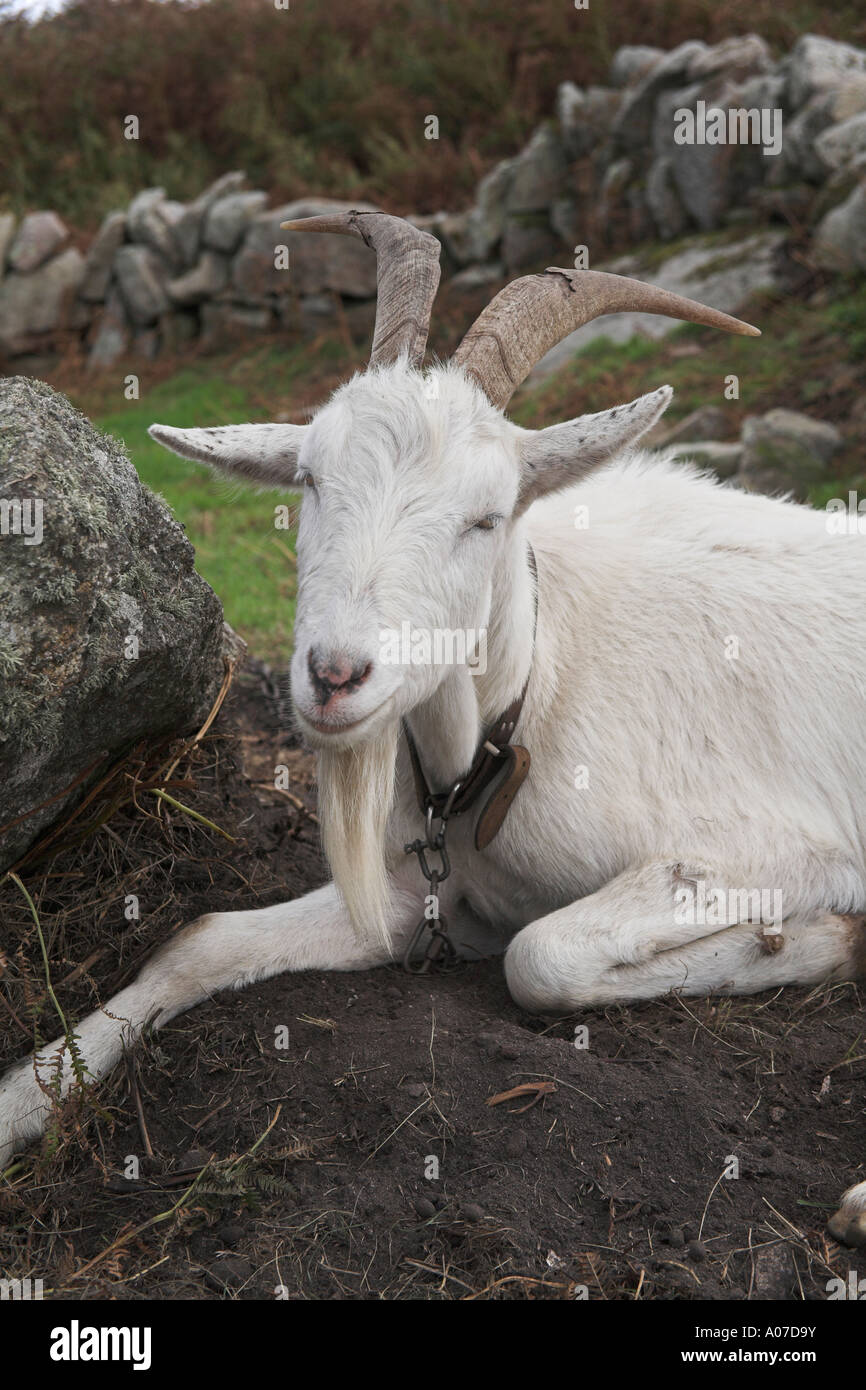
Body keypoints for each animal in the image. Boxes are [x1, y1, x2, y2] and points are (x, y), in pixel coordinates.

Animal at [1, 212, 864, 1246]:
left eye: (487, 517)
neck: (530, 703)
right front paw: (23, 1098)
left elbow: (542, 956)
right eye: (310, 479)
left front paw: (809, 941)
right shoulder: (428, 890)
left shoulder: (787, 845)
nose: (335, 676)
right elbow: (197, 939)